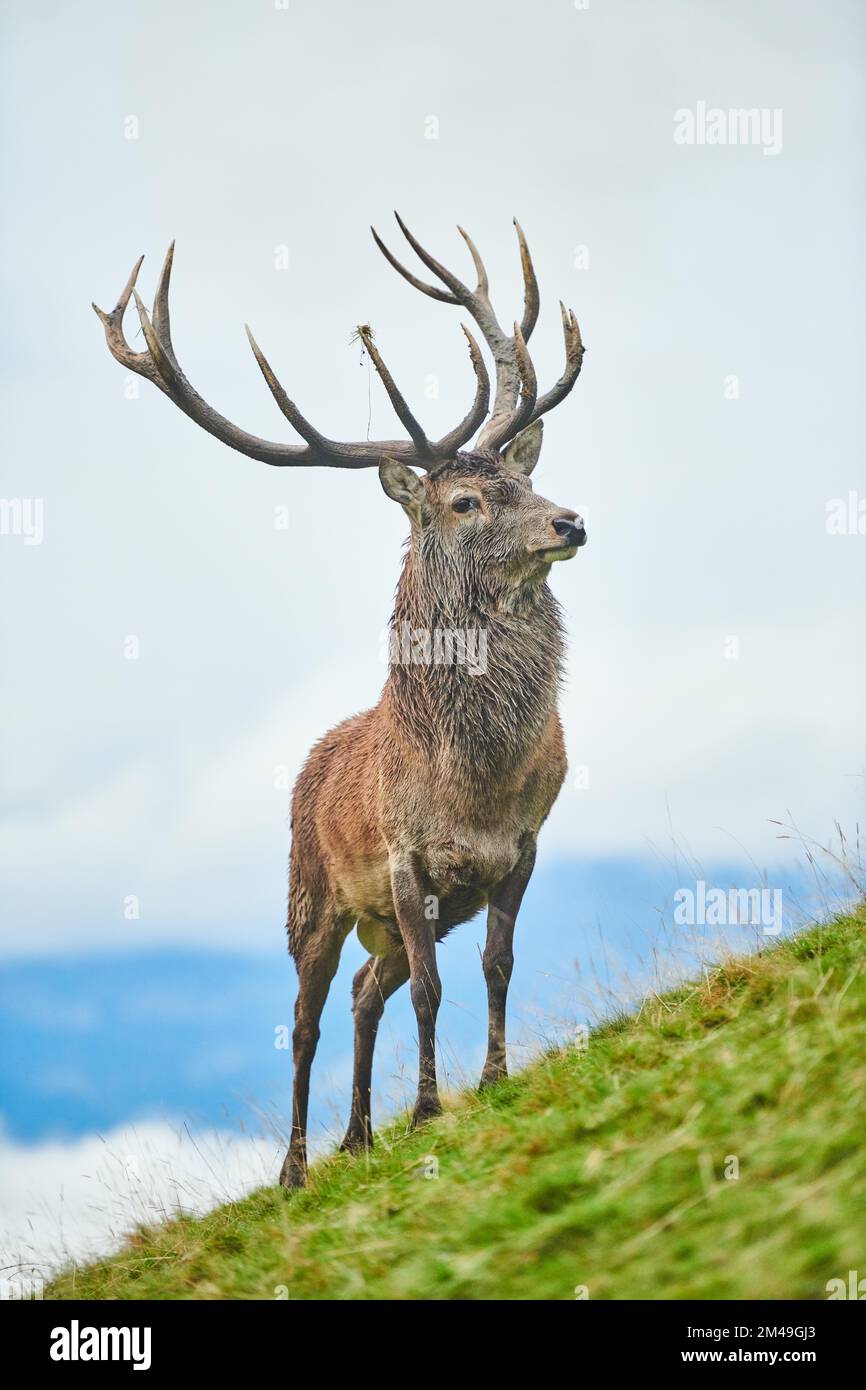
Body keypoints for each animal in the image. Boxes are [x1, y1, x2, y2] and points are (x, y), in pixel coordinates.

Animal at [94, 214, 587, 1188]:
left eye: (524, 482)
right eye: (466, 501)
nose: (571, 521)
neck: (477, 778)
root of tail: (311, 759)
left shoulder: (522, 846)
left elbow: (498, 964)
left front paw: (494, 1077)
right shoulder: (403, 859)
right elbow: (434, 988)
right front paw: (430, 1109)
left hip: (384, 924)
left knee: (366, 994)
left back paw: (359, 1135)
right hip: (310, 899)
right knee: (307, 1018)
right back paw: (295, 1168)